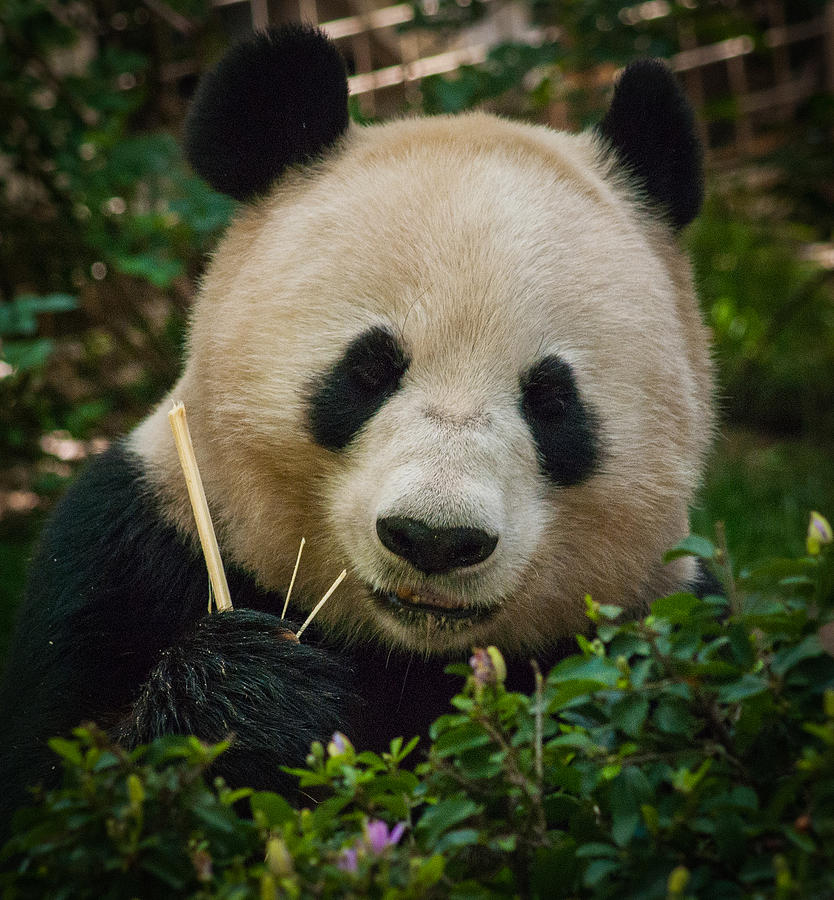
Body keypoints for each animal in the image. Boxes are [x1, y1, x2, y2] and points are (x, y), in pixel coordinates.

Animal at [0, 24, 713, 822]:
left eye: (552, 400)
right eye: (369, 372)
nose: (435, 539)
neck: (405, 652)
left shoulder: (671, 617)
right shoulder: (126, 548)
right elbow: (59, 778)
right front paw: (258, 701)